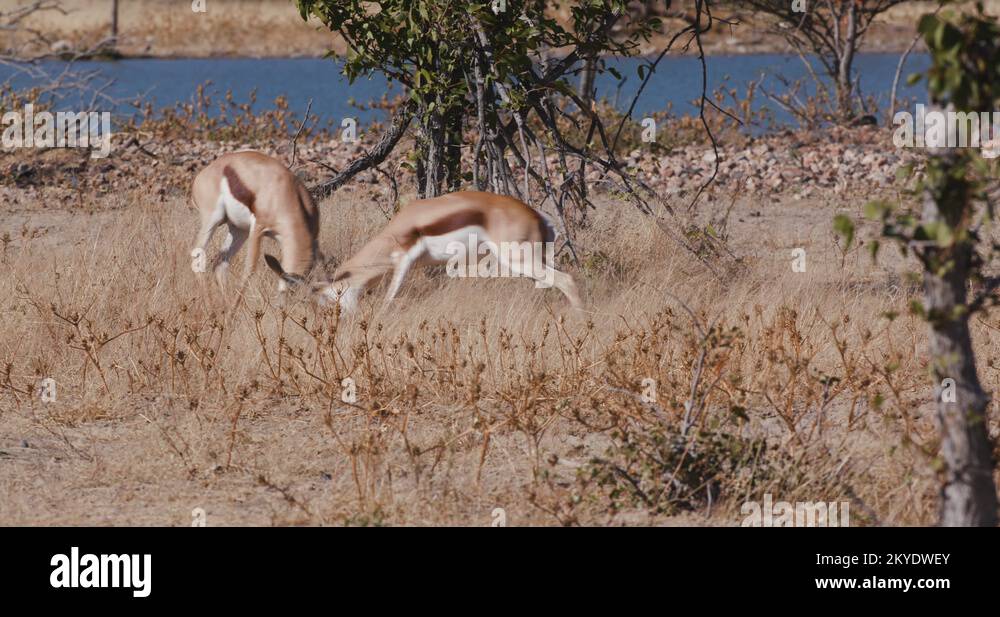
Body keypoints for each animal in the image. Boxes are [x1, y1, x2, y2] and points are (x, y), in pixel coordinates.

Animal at [190, 151, 319, 288]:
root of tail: (202, 174)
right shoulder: (258, 228)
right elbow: (249, 269)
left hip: (239, 230)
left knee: (220, 263)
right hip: (213, 220)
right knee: (197, 253)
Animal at [264, 191, 582, 311]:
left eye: (328, 301)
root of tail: (538, 216)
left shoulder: (404, 260)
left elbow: (389, 298)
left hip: (519, 260)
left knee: (568, 280)